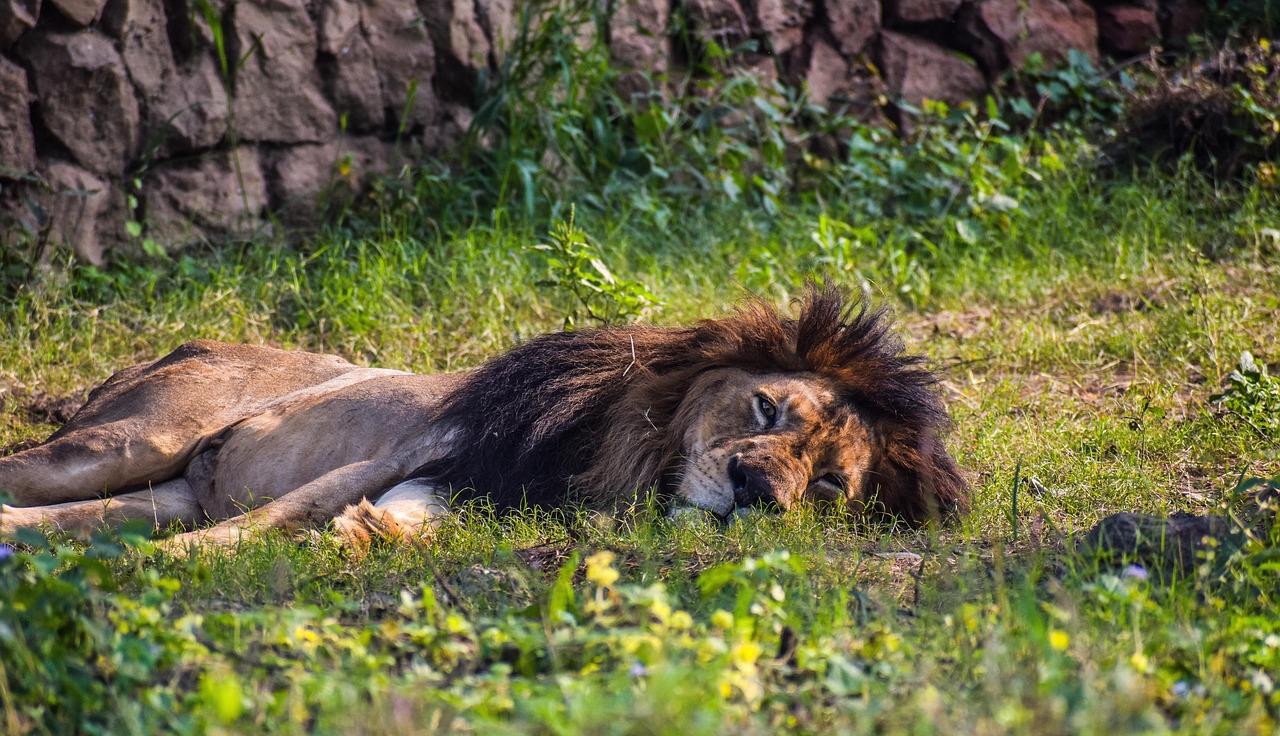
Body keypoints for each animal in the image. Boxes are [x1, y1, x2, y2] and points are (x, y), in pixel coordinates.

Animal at [0, 285, 967, 548]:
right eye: (766, 405)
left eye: (830, 483)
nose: (756, 490)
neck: (621, 451)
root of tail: (180, 342)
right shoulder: (427, 443)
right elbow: (280, 514)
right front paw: (178, 570)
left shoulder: (469, 487)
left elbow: (404, 518)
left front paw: (367, 537)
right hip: (127, 439)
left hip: (158, 488)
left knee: (65, 519)